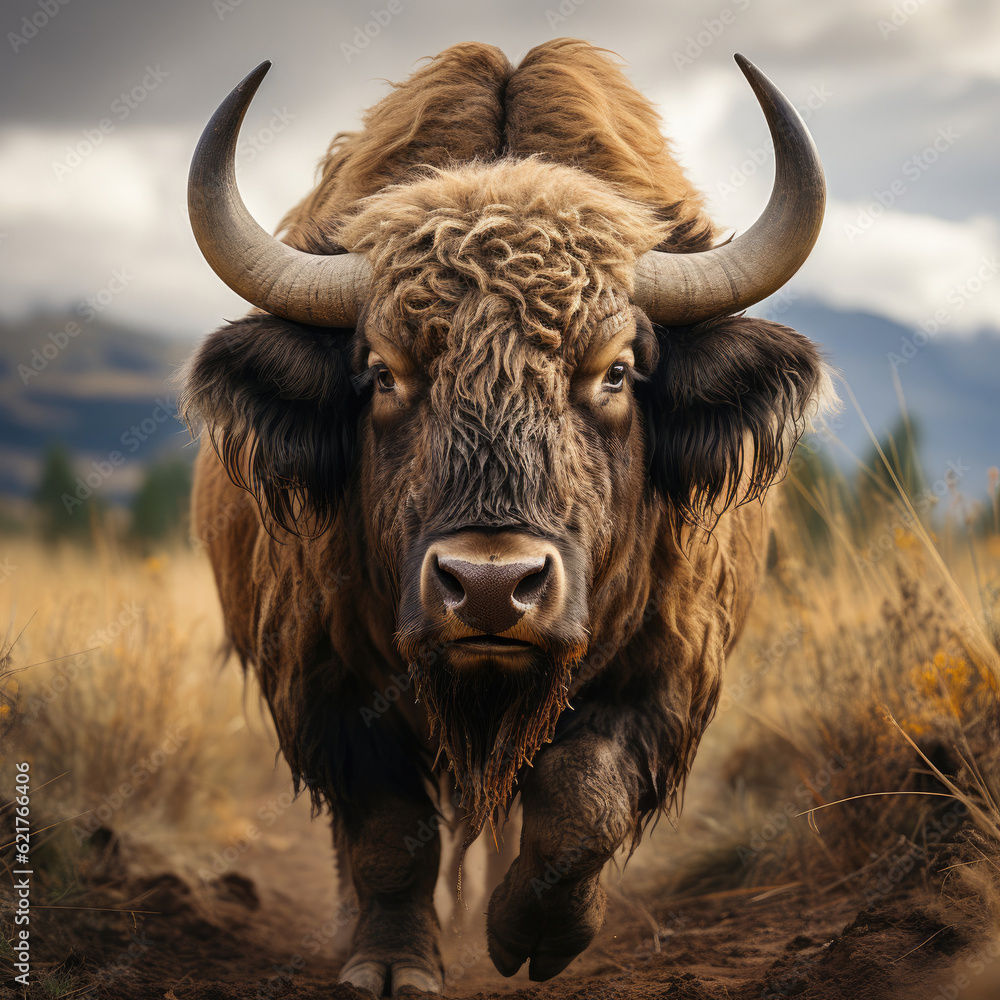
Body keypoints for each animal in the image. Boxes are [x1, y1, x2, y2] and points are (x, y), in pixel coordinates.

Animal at [181, 39, 834, 995]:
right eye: (382, 371)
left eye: (614, 371)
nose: (490, 588)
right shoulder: (327, 683)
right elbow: (388, 833)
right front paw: (390, 965)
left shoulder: (664, 668)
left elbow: (582, 803)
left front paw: (534, 934)